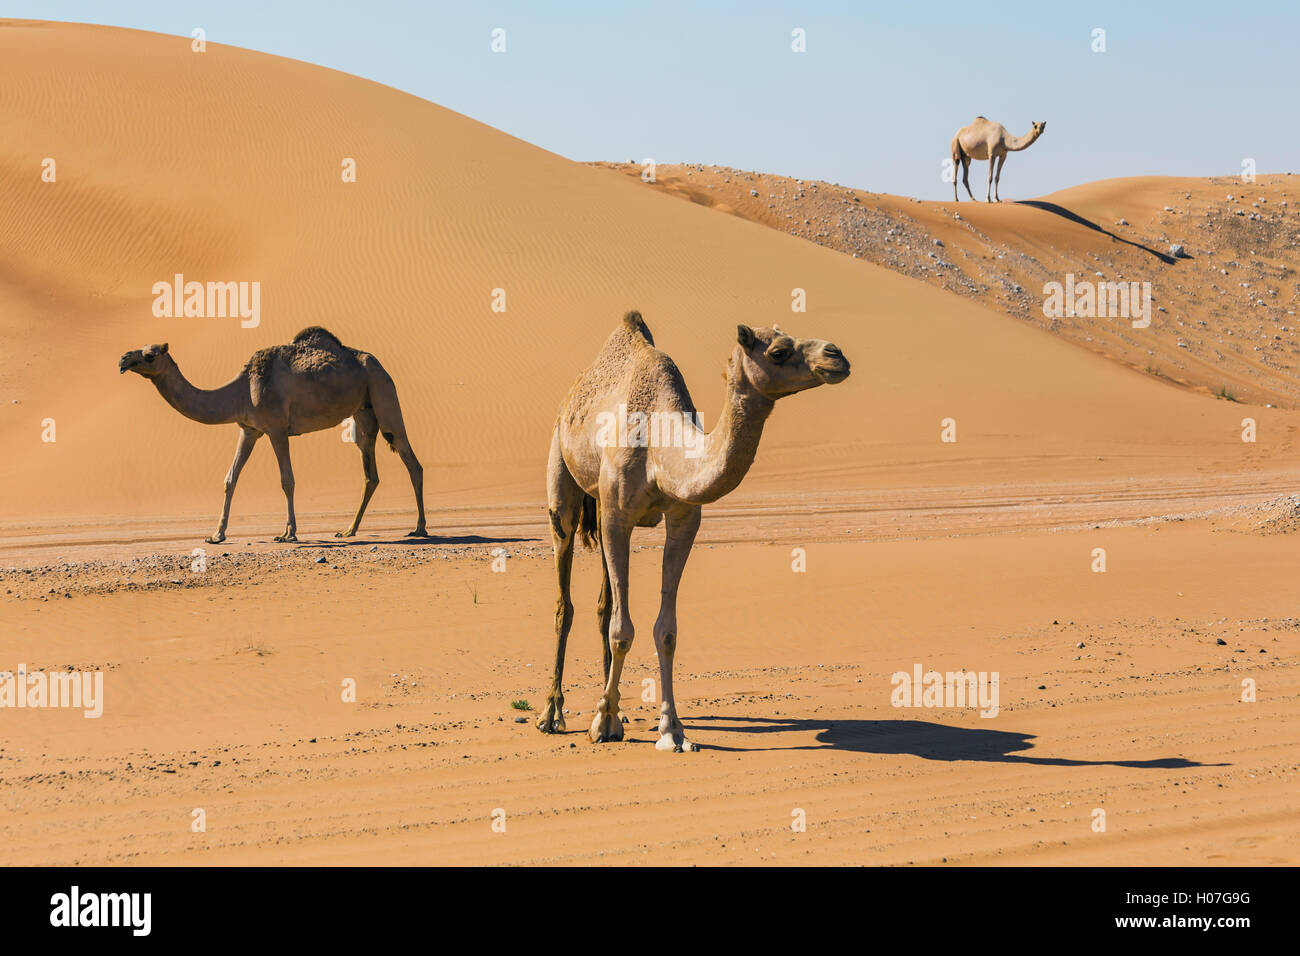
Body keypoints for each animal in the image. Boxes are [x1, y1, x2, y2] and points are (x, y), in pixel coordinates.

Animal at [119, 326, 426, 543]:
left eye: (150, 354)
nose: (123, 358)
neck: (242, 390)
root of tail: (379, 364)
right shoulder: (249, 429)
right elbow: (230, 479)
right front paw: (216, 535)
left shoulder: (277, 428)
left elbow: (287, 480)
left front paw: (288, 533)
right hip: (363, 410)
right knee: (370, 471)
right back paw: (348, 530)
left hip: (383, 391)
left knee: (411, 460)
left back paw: (420, 528)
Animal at [537, 311, 850, 752]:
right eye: (777, 351)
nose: (836, 355)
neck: (660, 447)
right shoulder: (617, 515)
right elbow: (622, 630)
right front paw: (603, 724)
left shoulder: (684, 519)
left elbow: (665, 630)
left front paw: (672, 730)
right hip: (561, 478)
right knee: (565, 599)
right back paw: (552, 713)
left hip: (598, 503)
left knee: (603, 604)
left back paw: (616, 705)